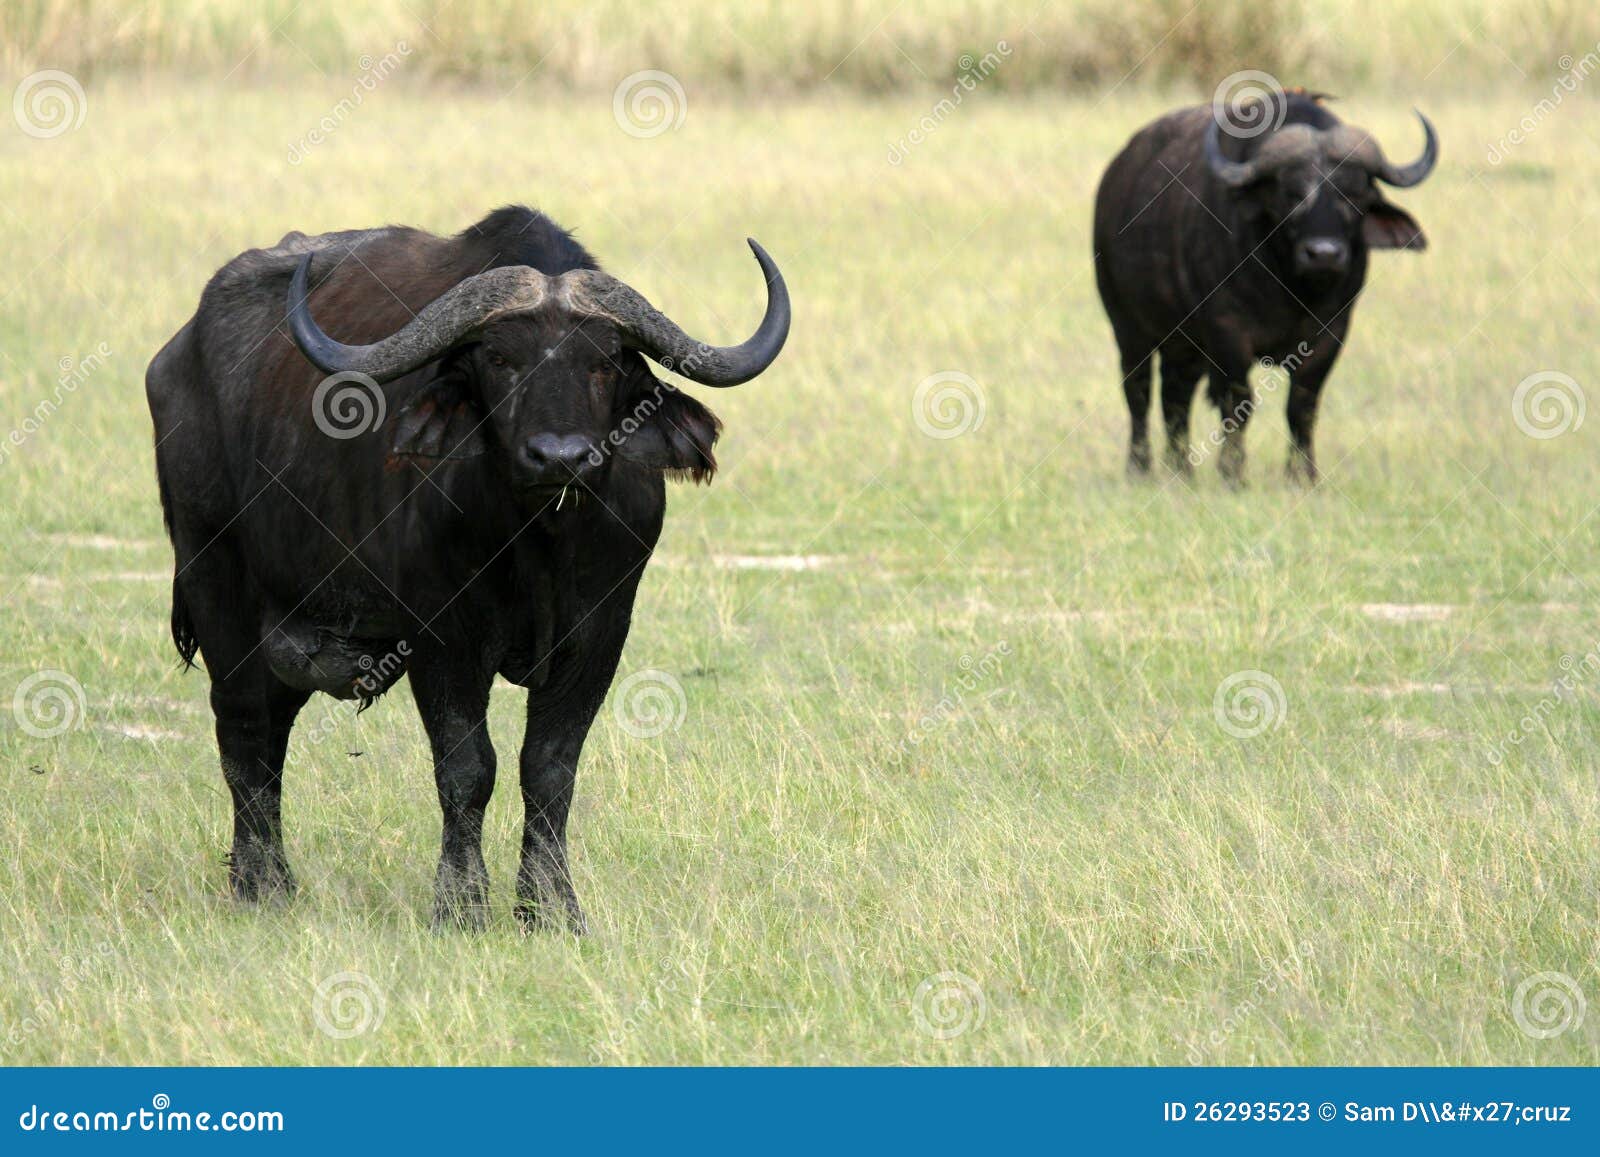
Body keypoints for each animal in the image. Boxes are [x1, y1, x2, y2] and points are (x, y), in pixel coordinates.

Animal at [146, 206, 789, 931]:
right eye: (500, 359)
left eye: (604, 363)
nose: (559, 456)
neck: (538, 541)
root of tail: (177, 355)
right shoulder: (441, 638)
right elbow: (467, 767)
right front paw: (460, 903)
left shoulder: (601, 634)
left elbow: (550, 767)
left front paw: (551, 906)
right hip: (213, 577)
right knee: (244, 727)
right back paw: (261, 884)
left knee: (272, 726)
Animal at [1093, 90, 1437, 484]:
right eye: (1291, 193)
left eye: (1355, 195)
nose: (1323, 254)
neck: (1290, 289)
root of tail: (1116, 174)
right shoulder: (1227, 332)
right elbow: (1238, 404)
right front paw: (1233, 475)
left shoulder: (1331, 334)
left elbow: (1302, 406)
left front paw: (1303, 477)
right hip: (1127, 327)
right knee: (1138, 393)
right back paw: (1140, 469)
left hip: (1184, 343)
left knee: (1175, 396)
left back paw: (1181, 471)